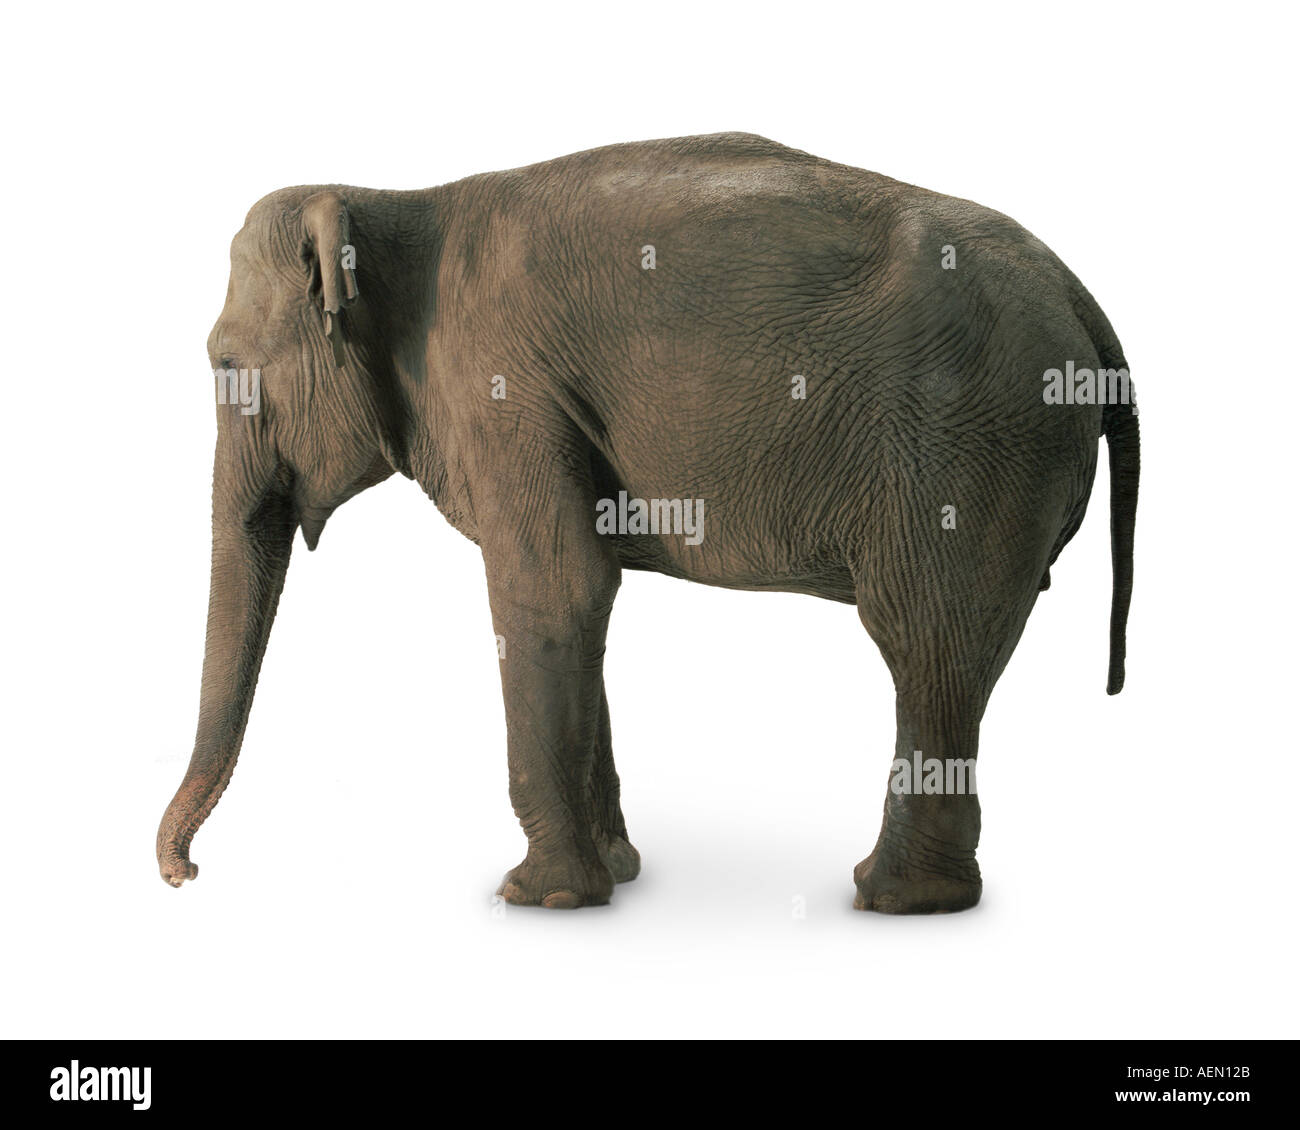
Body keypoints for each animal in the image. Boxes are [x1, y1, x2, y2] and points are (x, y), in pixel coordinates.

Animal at [158, 132, 1138, 913]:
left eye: (226, 365)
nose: (184, 875)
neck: (393, 200)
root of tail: (1082, 297)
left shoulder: (507, 395)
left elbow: (553, 594)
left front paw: (537, 898)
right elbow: (584, 601)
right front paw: (619, 872)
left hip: (968, 451)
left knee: (923, 642)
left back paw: (895, 902)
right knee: (949, 657)